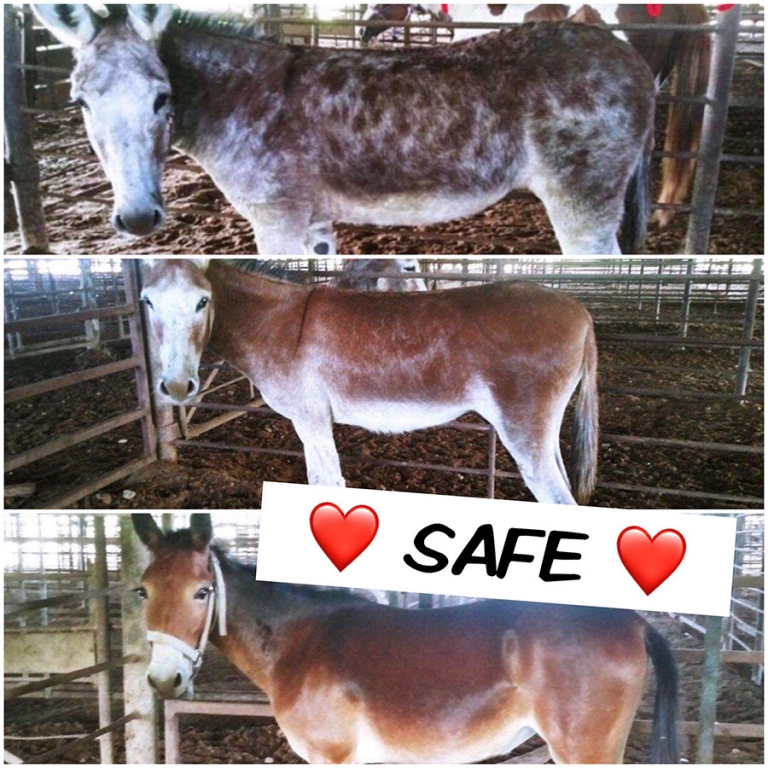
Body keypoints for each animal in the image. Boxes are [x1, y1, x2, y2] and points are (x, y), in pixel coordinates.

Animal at [34, 4, 655, 255]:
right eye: (80, 103)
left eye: (162, 98)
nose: (138, 219)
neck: (244, 99)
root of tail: (634, 60)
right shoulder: (313, 220)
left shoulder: (276, 218)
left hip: (581, 200)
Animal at [140, 258, 599, 505]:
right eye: (146, 302)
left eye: (202, 302)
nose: (177, 388)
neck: (278, 322)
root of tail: (581, 310)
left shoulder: (310, 418)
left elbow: (326, 484)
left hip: (522, 426)